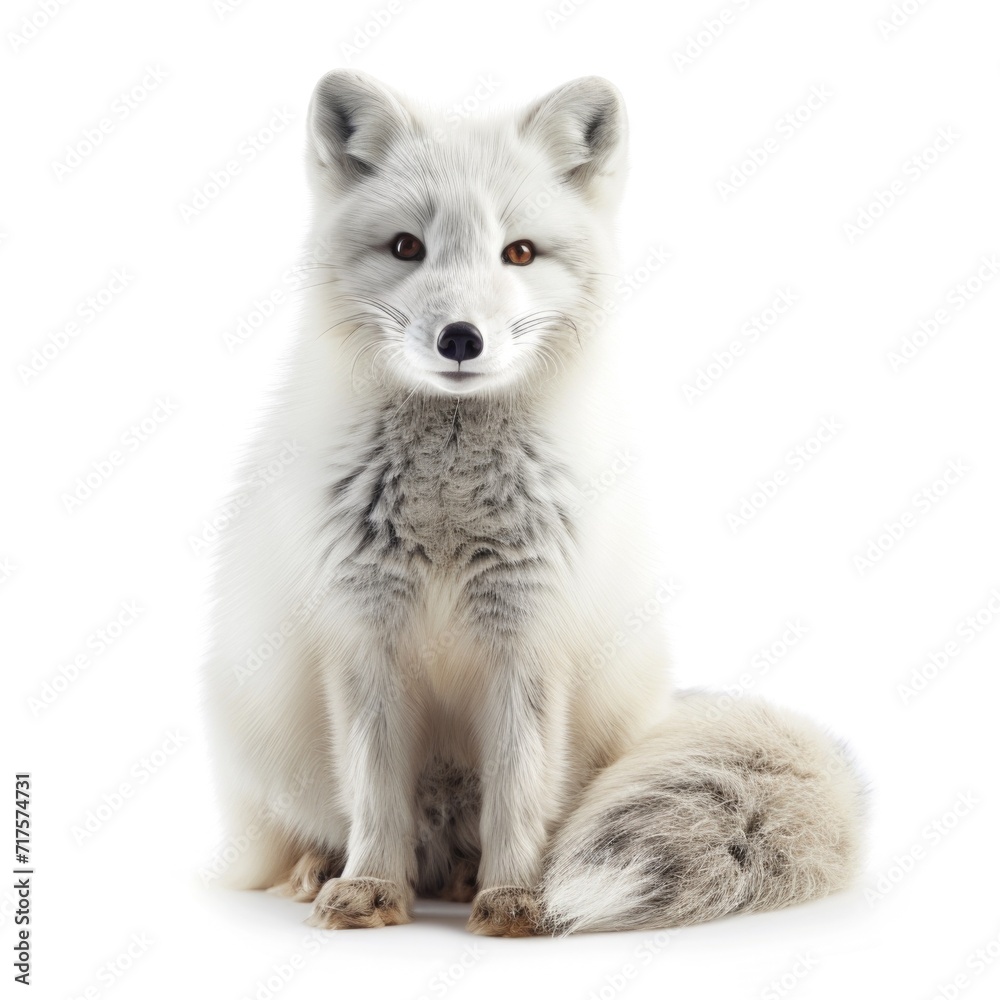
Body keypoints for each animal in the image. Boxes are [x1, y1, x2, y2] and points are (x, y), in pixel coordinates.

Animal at [202, 70, 865, 936]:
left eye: (518, 251)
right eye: (407, 247)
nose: (460, 338)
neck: (448, 518)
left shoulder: (529, 637)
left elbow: (520, 793)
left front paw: (517, 899)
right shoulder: (364, 637)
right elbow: (373, 794)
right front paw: (372, 887)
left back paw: (464, 880)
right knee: (312, 831)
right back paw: (325, 868)